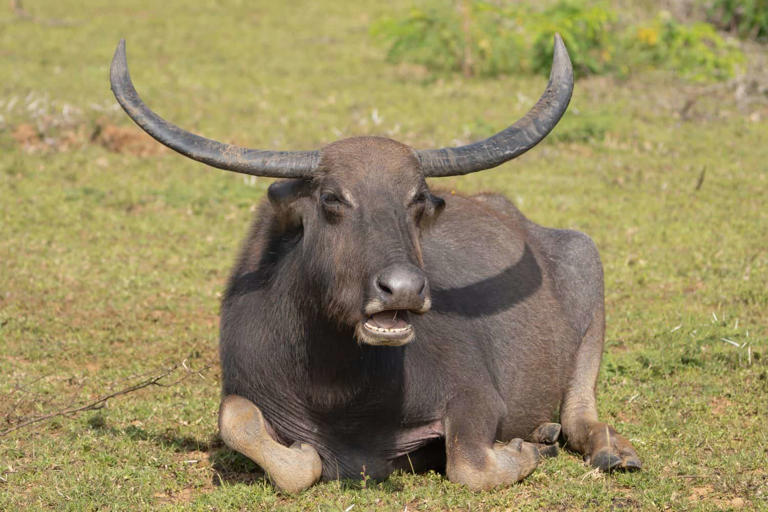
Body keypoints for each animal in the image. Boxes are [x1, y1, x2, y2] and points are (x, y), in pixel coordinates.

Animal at [110, 35, 640, 492]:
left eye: (417, 199)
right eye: (331, 198)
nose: (403, 289)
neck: (337, 386)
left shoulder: (476, 395)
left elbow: (470, 464)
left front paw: (527, 449)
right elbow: (242, 424)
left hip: (589, 270)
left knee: (579, 411)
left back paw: (608, 450)